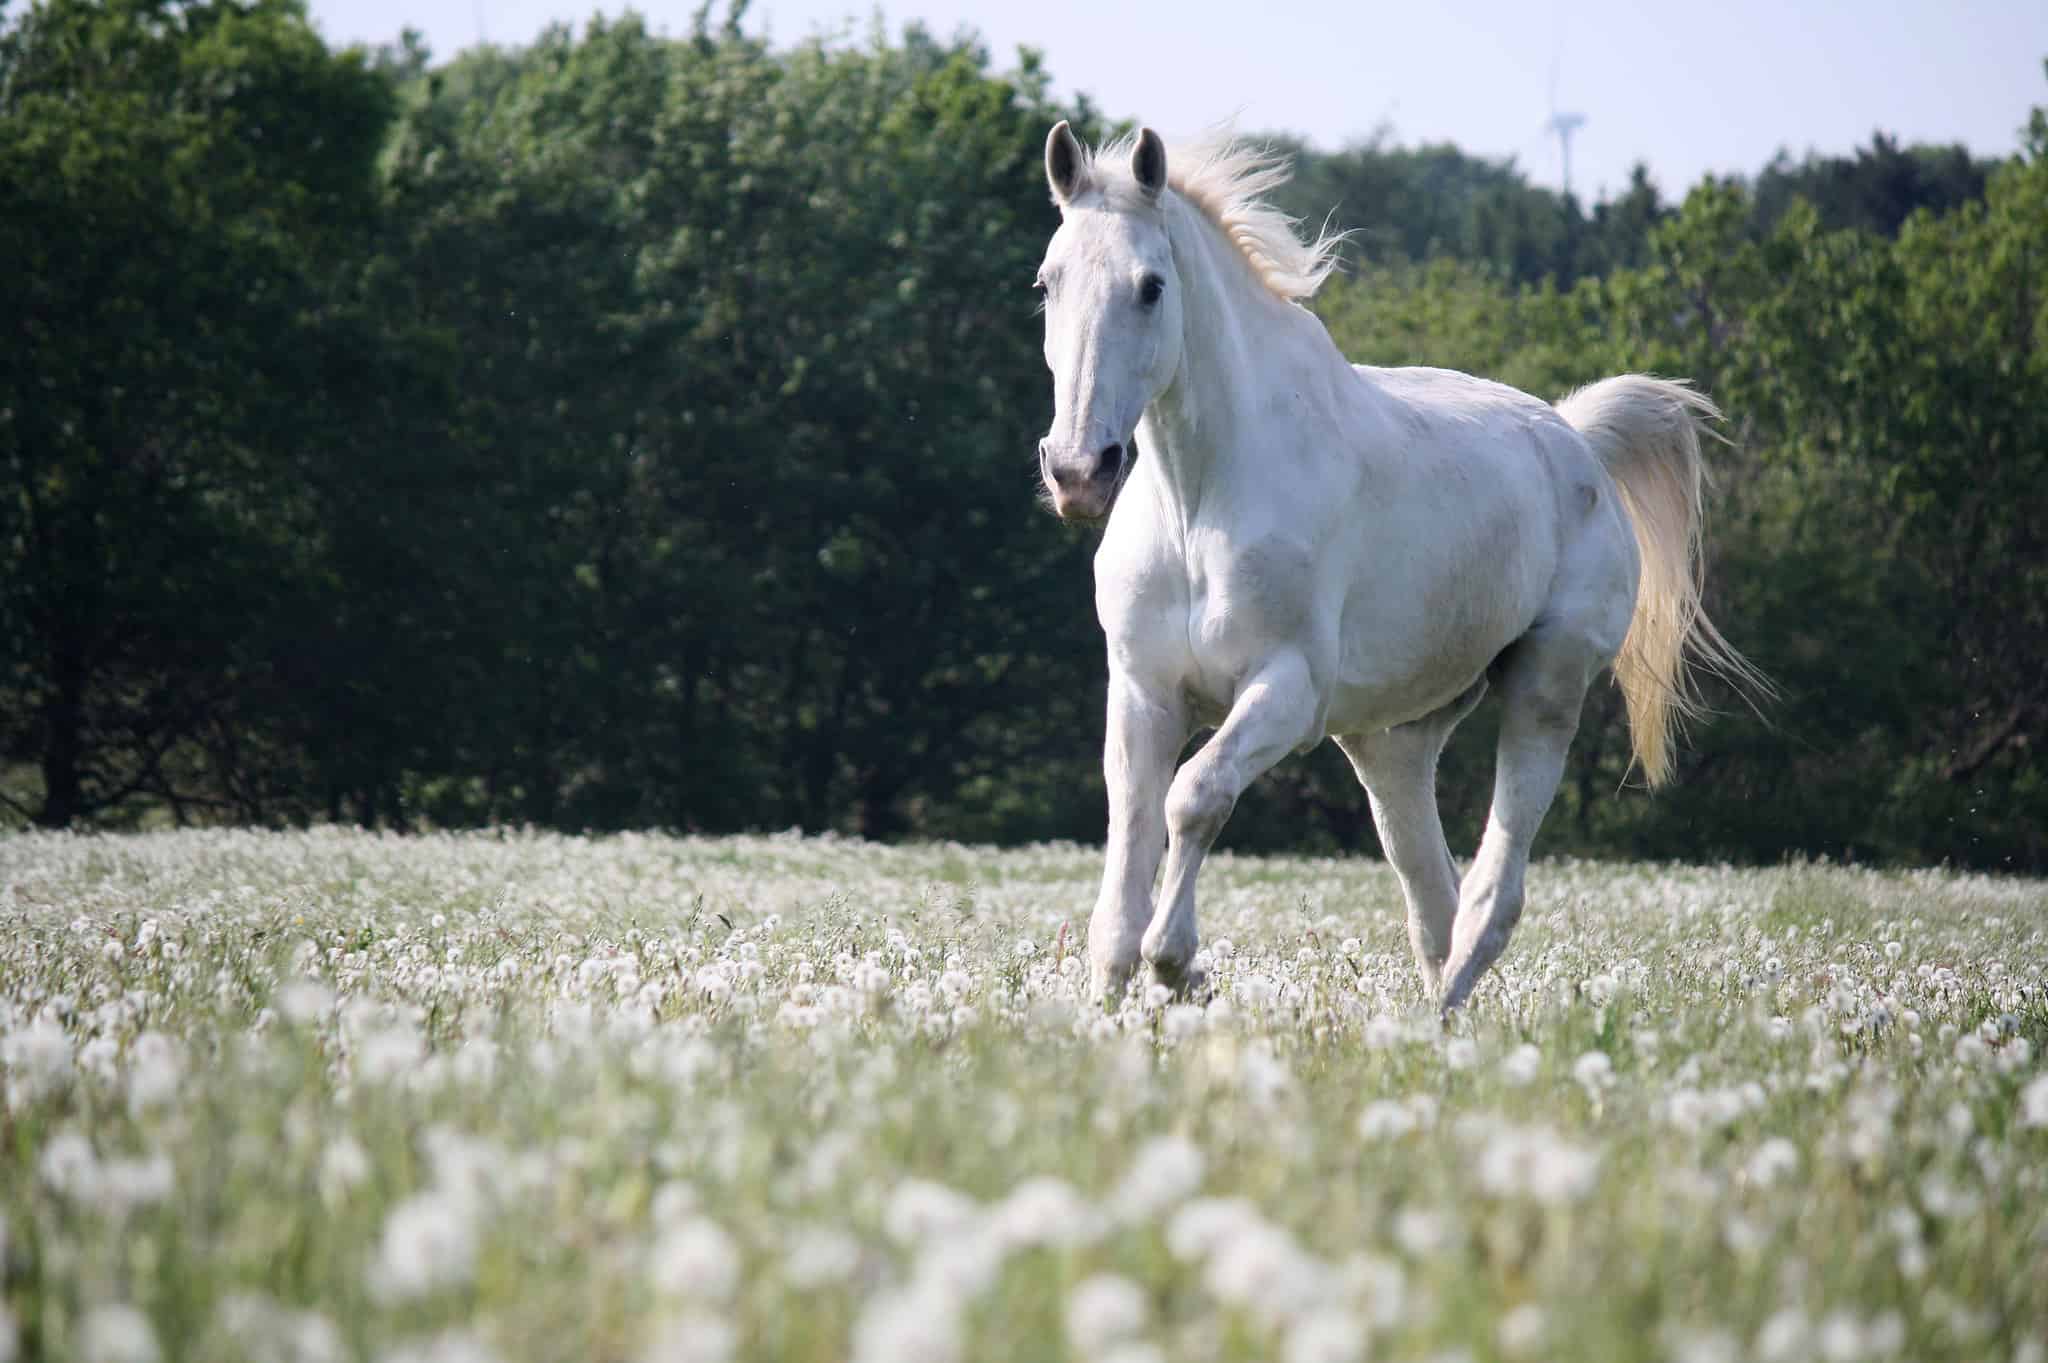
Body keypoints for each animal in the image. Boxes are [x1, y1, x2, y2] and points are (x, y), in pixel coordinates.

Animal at [1032, 121, 1766, 1011]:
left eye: (1150, 286)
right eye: (1047, 282)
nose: (1079, 471)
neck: (1197, 503)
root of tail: (1577, 438)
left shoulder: (1286, 690)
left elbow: (1195, 797)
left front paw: (1180, 965)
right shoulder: (1144, 692)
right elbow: (1126, 858)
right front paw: (1115, 1003)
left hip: (1544, 689)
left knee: (1489, 895)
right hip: (1392, 746)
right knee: (1433, 899)